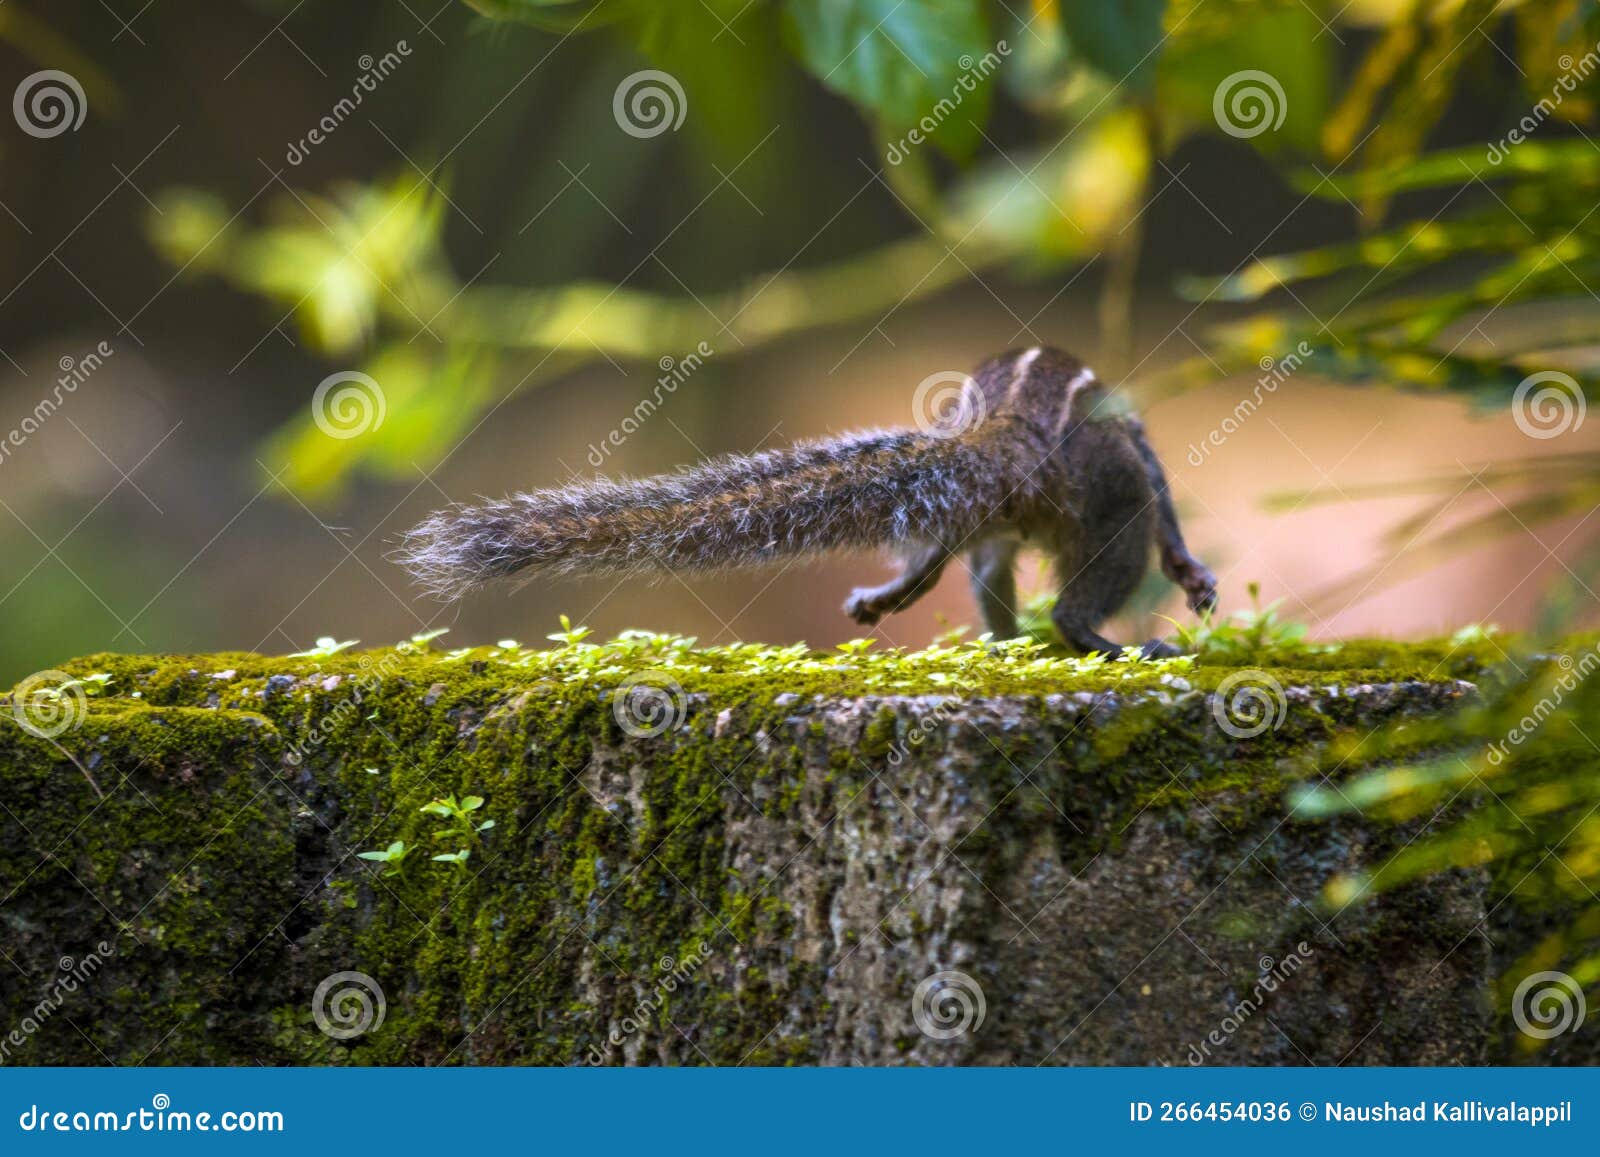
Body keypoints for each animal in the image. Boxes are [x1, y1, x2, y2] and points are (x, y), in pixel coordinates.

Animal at [397, 346, 1218, 656]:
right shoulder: (1140, 450)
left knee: (963, 569)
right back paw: (1111, 642)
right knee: (1100, 572)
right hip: (1110, 500)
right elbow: (1172, 514)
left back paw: (967, 629)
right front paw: (1194, 579)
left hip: (983, 514)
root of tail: (1006, 425)